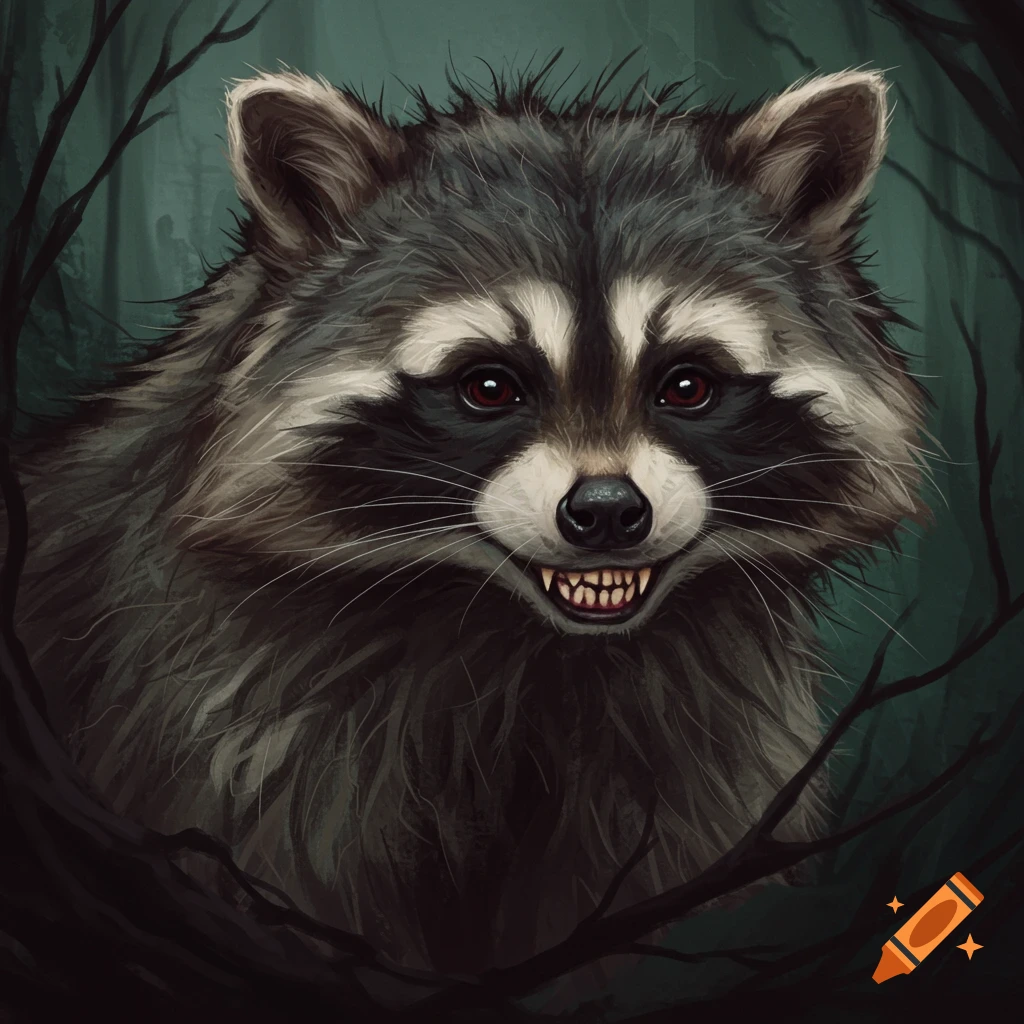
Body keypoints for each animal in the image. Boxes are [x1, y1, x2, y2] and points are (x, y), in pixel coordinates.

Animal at [11, 63, 928, 980]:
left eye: (687, 385)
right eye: (489, 386)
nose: (607, 512)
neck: (520, 635)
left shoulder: (699, 745)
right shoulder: (225, 719)